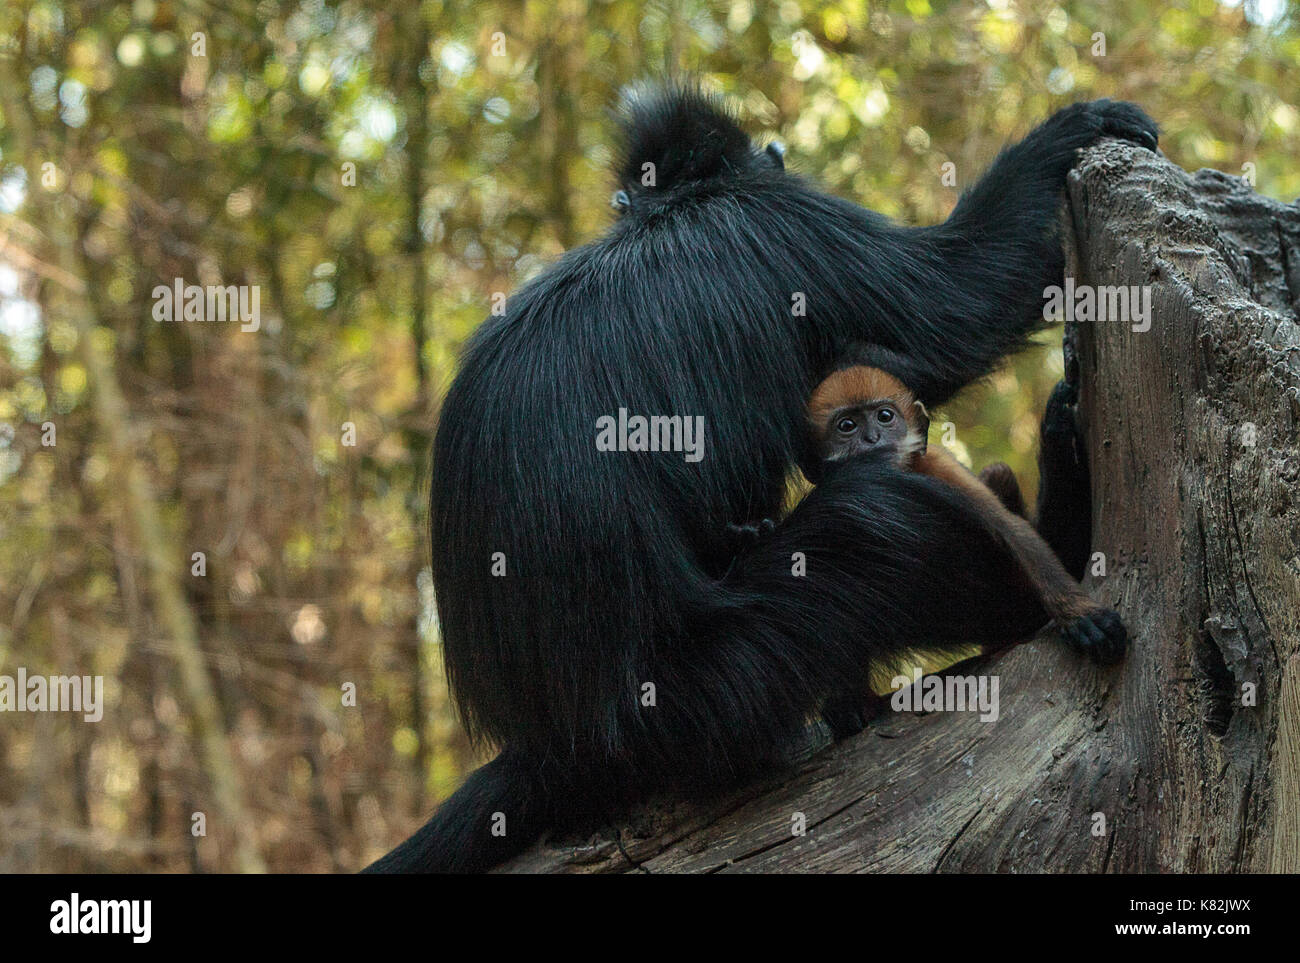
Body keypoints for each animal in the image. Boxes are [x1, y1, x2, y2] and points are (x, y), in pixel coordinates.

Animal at [366, 84, 1157, 873]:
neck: (675, 207)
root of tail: (559, 744)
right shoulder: (783, 223)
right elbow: (957, 309)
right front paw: (1079, 128)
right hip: (717, 688)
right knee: (881, 514)